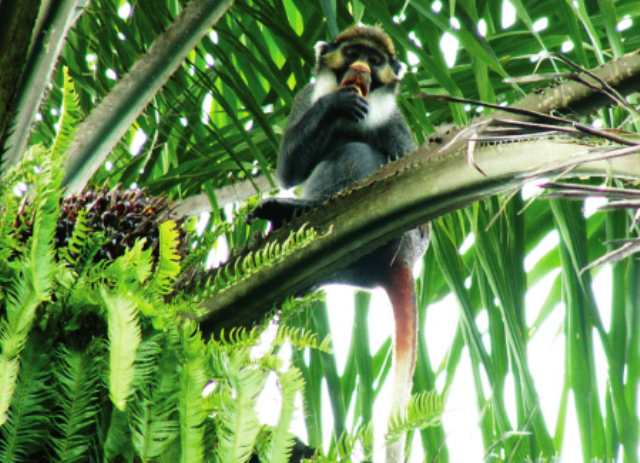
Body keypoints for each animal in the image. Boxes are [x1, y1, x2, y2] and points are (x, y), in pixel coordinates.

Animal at [248, 25, 429, 463]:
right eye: (351, 54)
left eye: (375, 61)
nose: (360, 69)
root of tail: (399, 264)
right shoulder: (306, 96)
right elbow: (289, 168)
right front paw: (335, 105)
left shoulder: (394, 122)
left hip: (392, 244)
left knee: (356, 150)